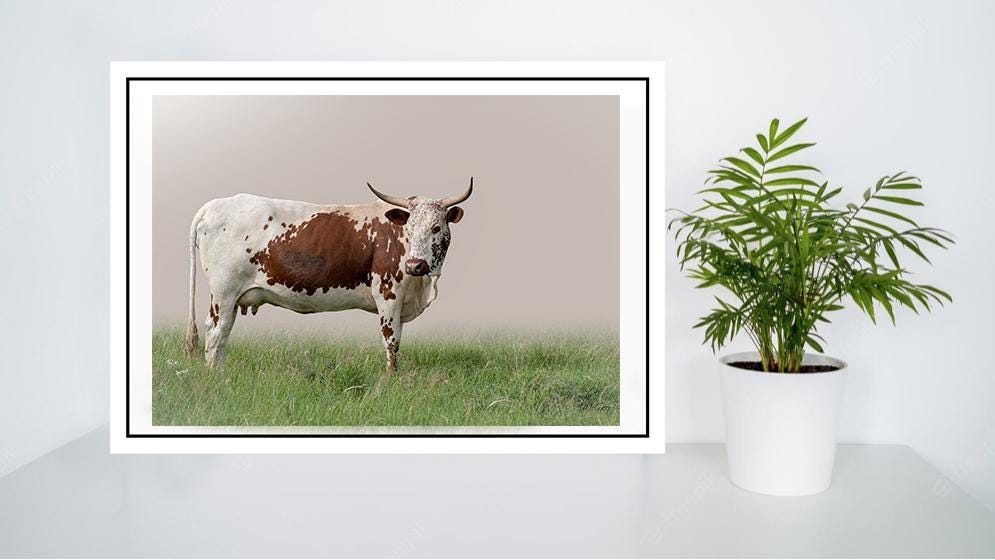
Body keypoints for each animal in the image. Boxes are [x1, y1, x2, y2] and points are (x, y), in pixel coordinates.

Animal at [184, 179, 472, 377]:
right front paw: (391, 379)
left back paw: (221, 372)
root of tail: (216, 204)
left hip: (231, 298)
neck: (422, 285)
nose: (415, 265)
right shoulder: (389, 293)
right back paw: (215, 376)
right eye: (409, 230)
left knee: (224, 333)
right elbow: (391, 340)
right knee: (216, 330)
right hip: (224, 292)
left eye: (436, 228)